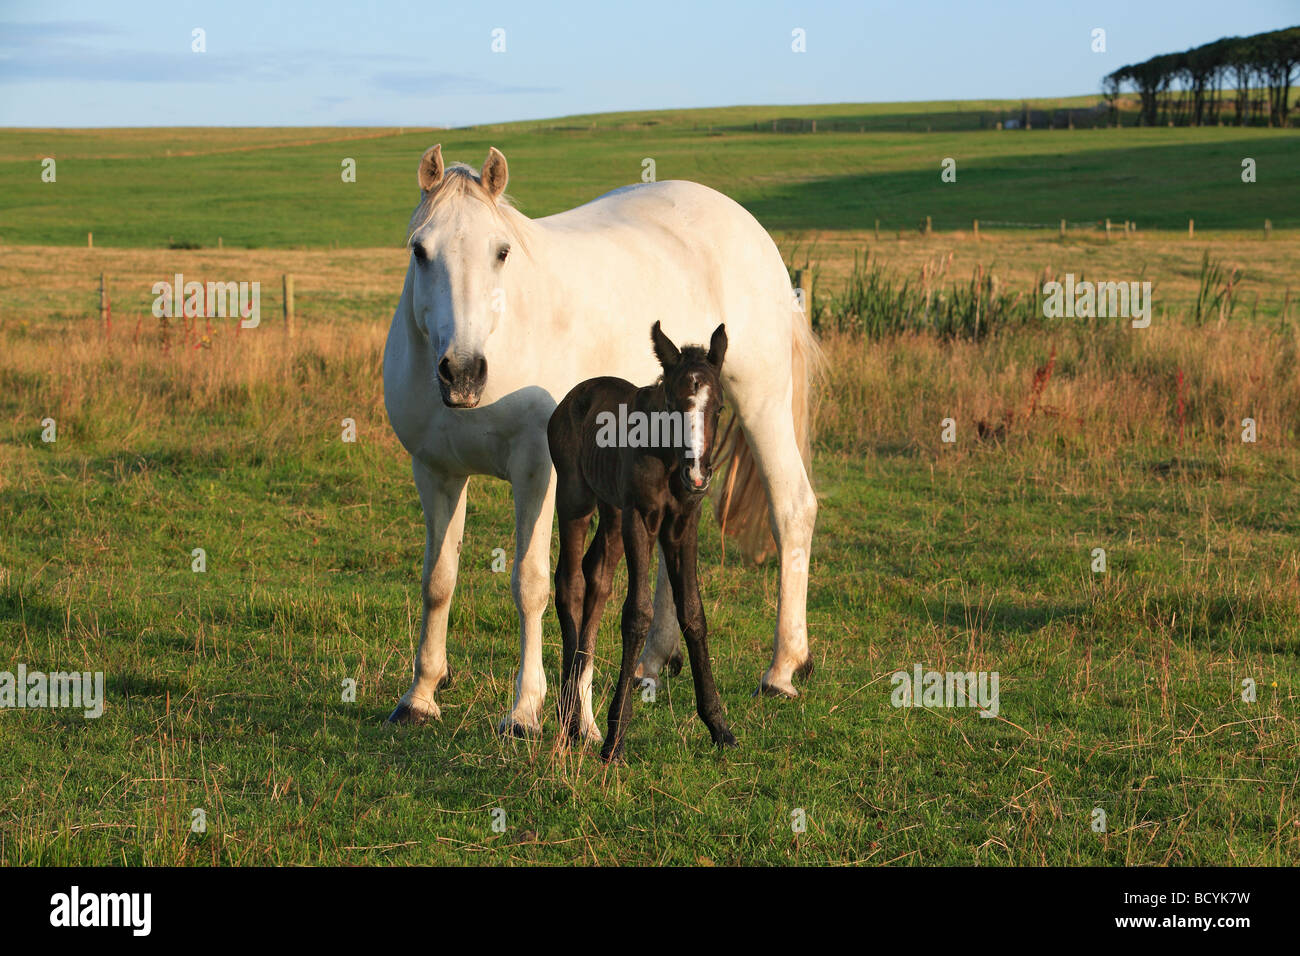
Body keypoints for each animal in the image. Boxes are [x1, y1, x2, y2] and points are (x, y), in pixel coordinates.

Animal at [549, 321, 736, 760]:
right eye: (674, 406)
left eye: (718, 408)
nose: (698, 476)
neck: (667, 459)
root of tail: (572, 398)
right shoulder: (639, 519)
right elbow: (637, 614)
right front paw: (616, 737)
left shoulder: (684, 523)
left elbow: (693, 613)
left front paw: (718, 725)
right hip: (575, 499)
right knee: (570, 584)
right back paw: (568, 720)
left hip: (612, 512)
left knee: (597, 579)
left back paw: (580, 719)